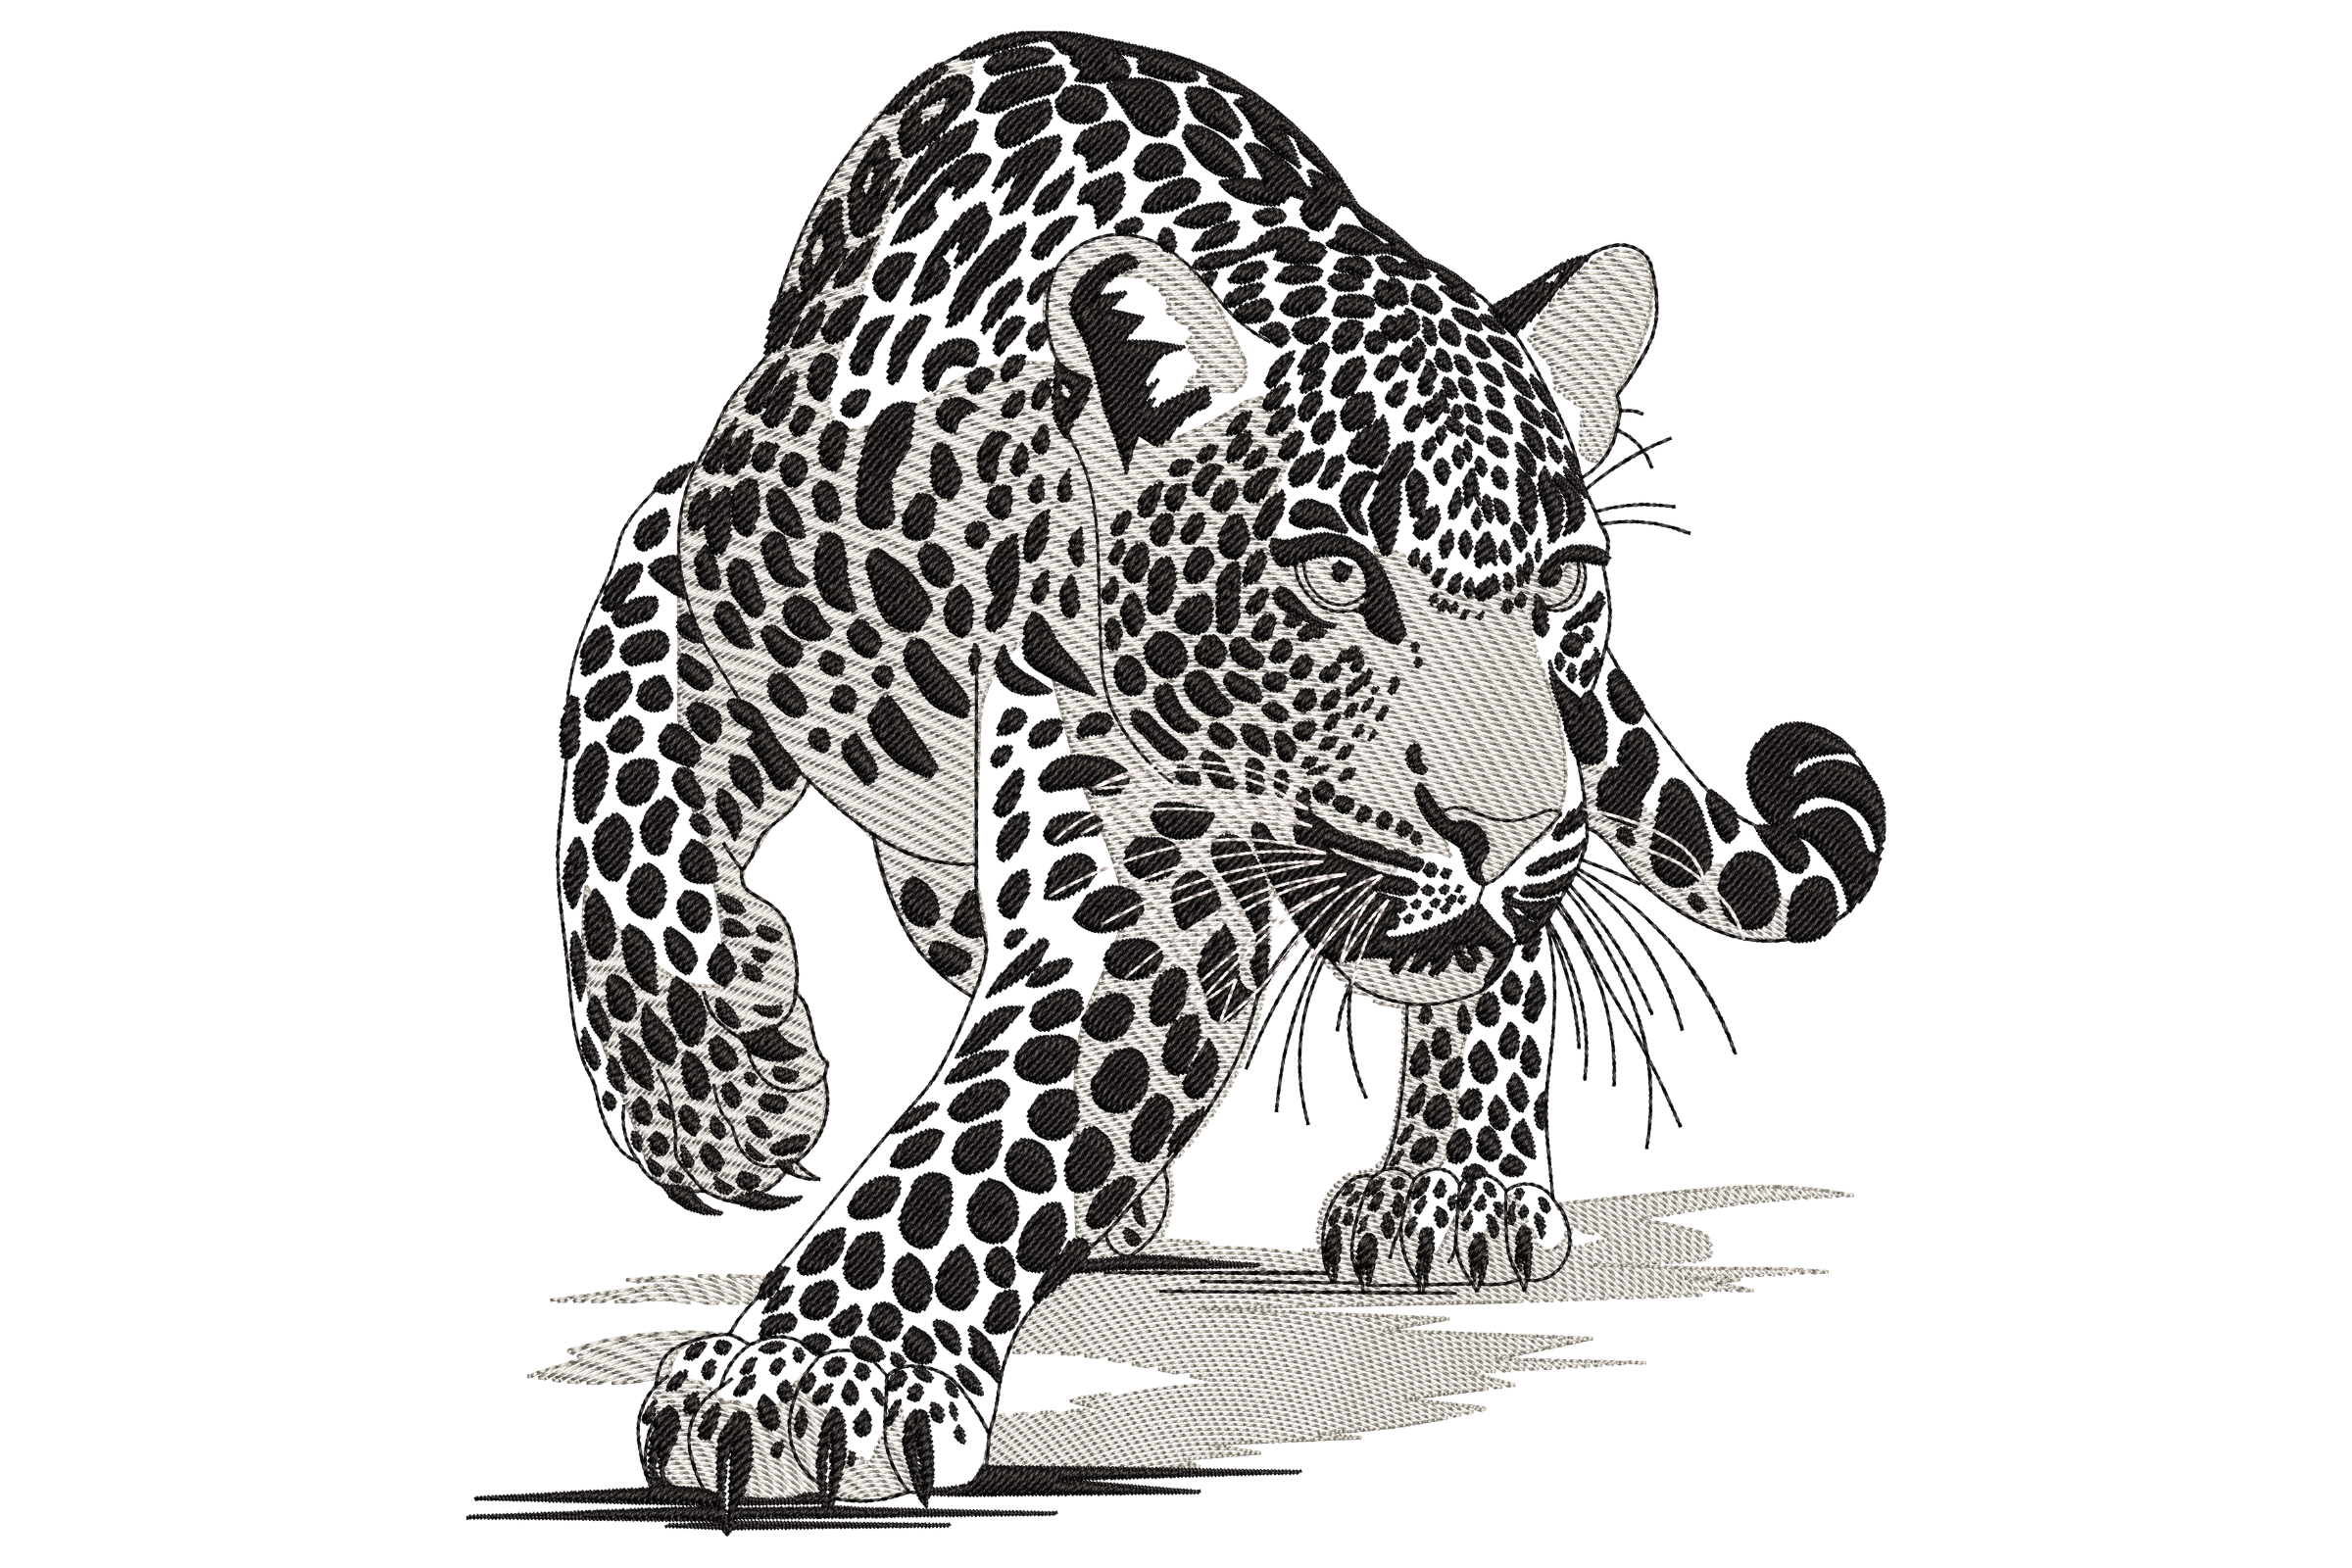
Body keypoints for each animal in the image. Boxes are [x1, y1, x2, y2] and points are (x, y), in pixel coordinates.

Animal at [554, 30, 1887, 1514]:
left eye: (1559, 583)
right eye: (1334, 572)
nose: (1506, 829)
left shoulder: (1155, 886)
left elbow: (989, 1127)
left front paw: (809, 1370)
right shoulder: (688, 545)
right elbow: (615, 795)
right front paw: (715, 1100)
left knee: (1500, 967)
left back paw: (1457, 1187)